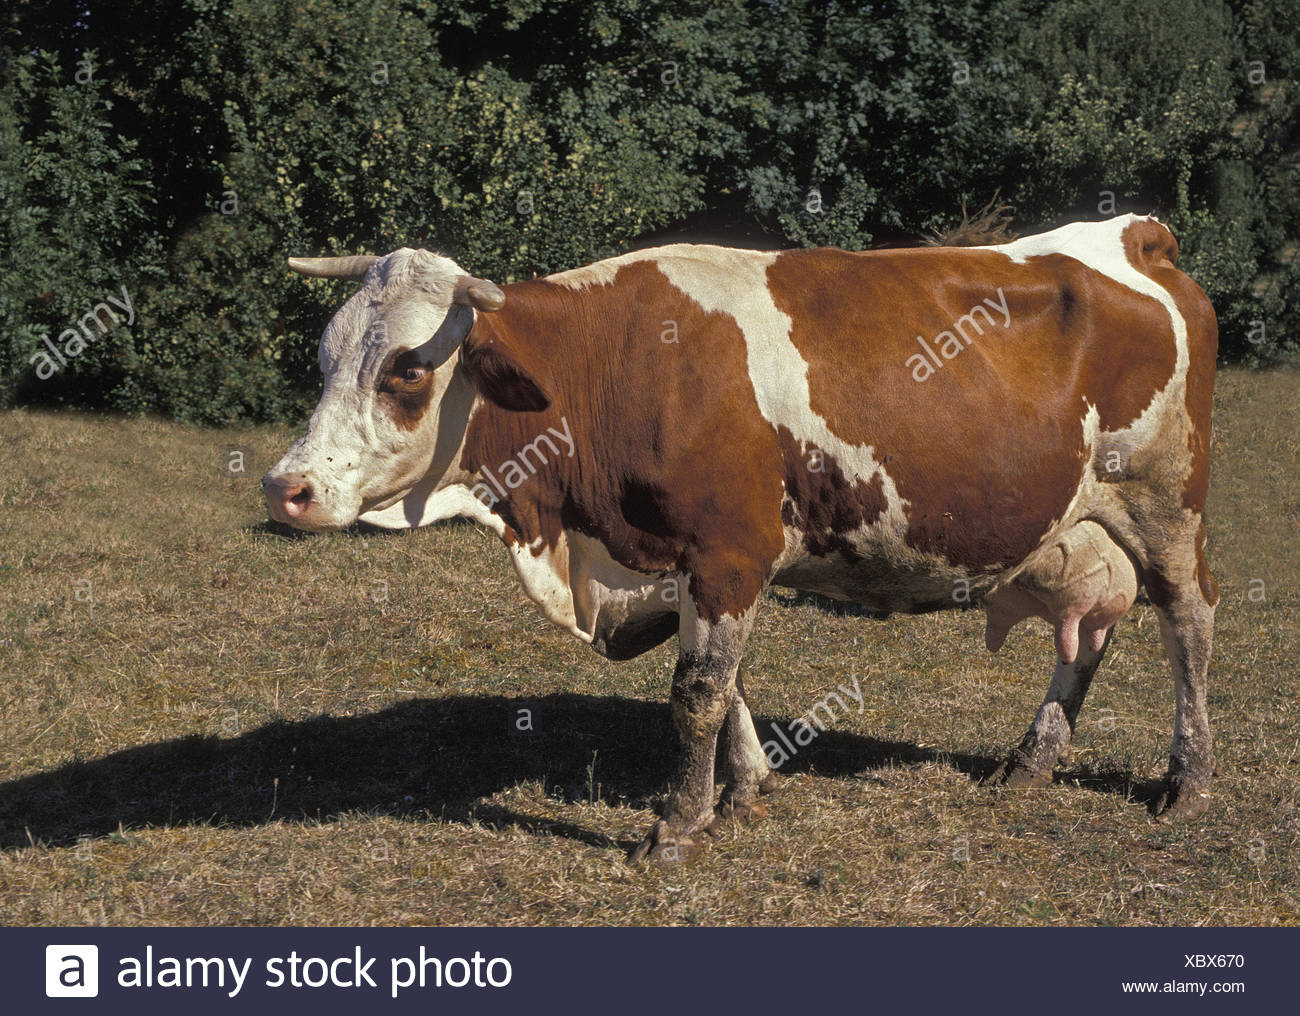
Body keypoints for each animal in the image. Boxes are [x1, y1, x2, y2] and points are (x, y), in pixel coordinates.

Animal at [264, 214, 1219, 866]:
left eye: (407, 372)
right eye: (324, 360)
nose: (285, 487)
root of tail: (1131, 235)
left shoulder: (727, 550)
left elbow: (694, 693)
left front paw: (676, 825)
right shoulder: (693, 562)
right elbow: (725, 684)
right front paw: (747, 791)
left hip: (1167, 504)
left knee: (1188, 625)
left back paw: (1188, 779)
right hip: (1083, 525)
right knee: (1087, 635)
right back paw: (1033, 757)